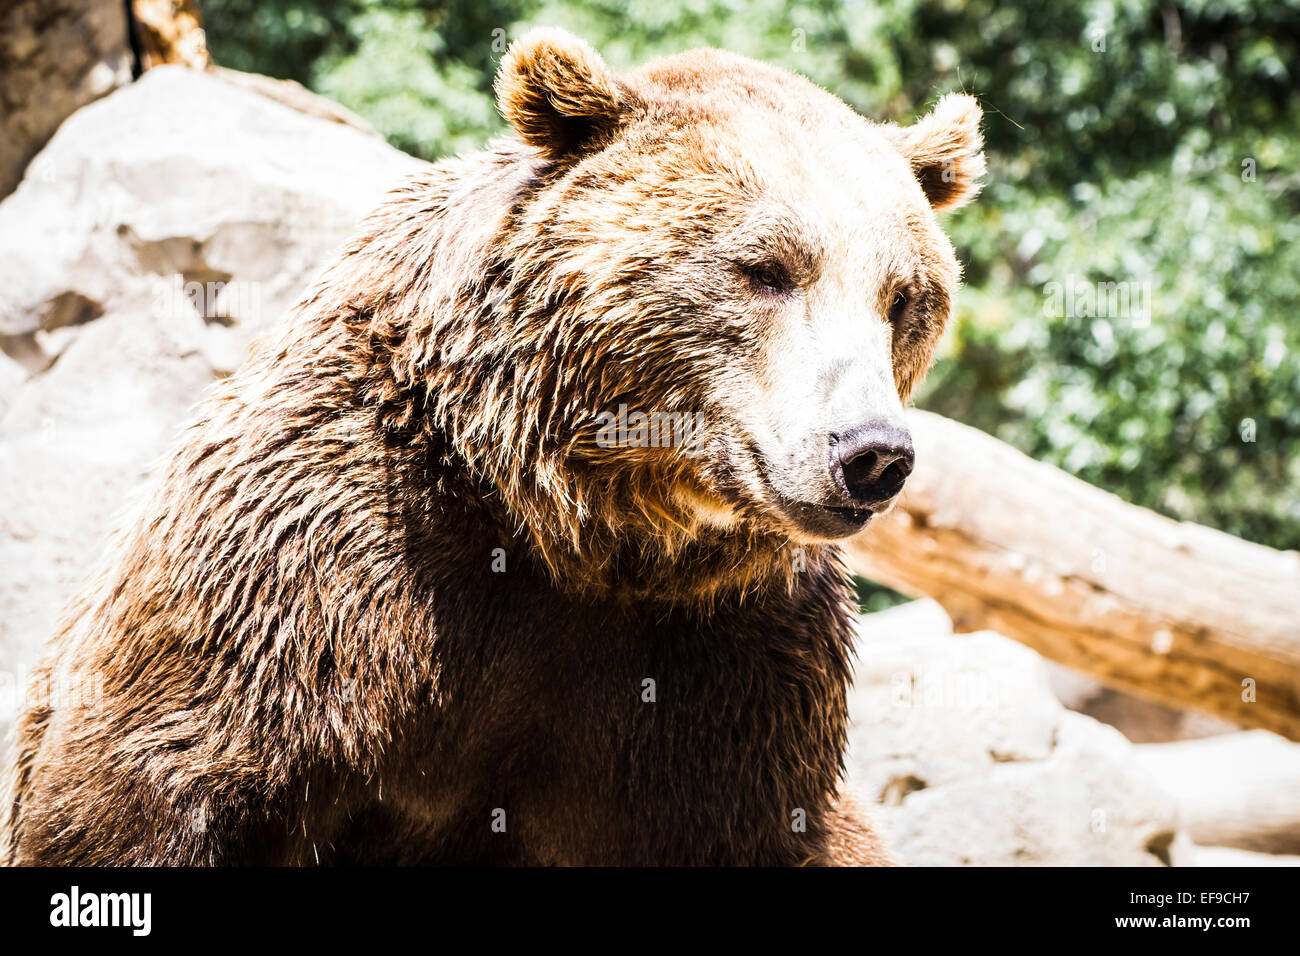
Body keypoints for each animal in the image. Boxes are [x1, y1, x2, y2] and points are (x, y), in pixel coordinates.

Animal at [1, 28, 982, 865]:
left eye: (904, 296)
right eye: (766, 269)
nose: (870, 451)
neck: (580, 527)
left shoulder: (730, 665)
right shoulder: (315, 576)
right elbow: (143, 792)